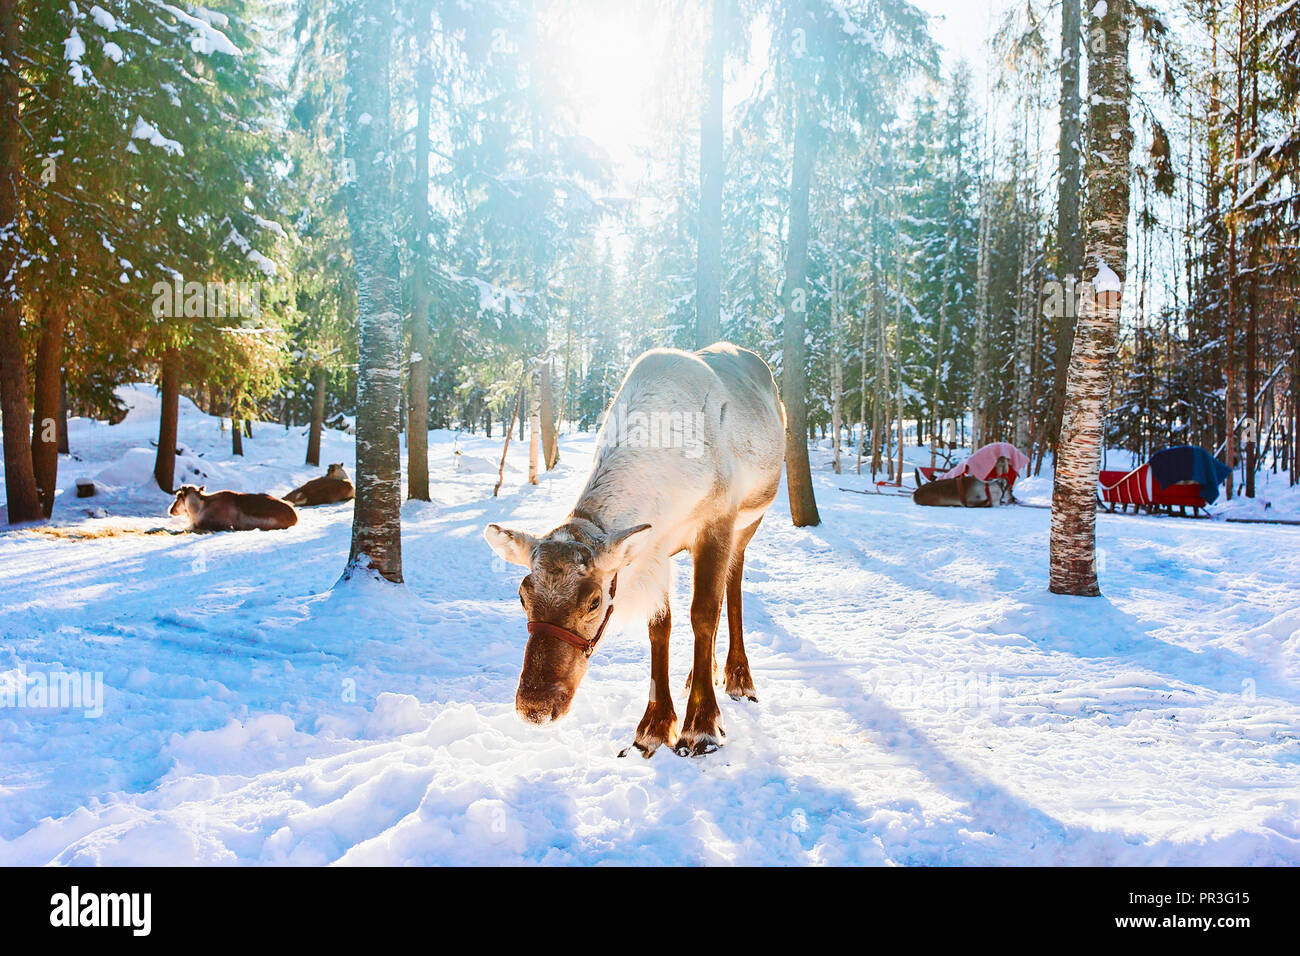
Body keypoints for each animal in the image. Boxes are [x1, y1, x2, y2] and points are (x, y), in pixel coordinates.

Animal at [484, 342, 785, 757]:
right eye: (522, 595)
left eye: (594, 601)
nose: (535, 707)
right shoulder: (654, 550)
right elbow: (660, 626)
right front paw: (655, 726)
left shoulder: (716, 523)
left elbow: (703, 614)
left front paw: (702, 725)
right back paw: (700, 674)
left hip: (750, 522)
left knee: (732, 588)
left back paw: (738, 676)